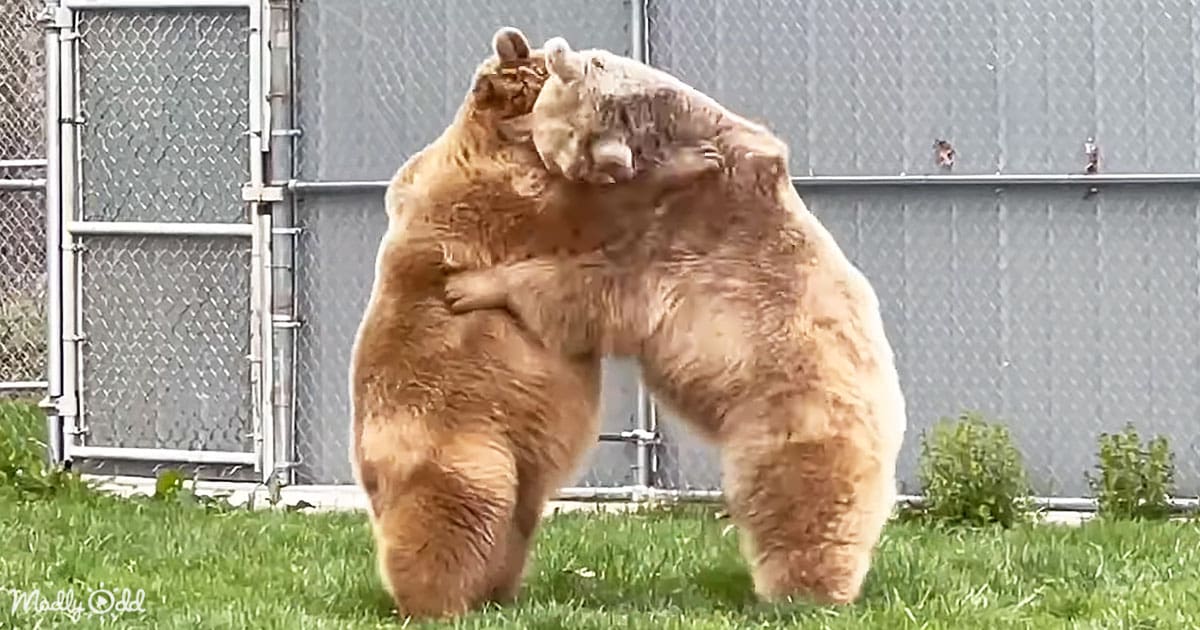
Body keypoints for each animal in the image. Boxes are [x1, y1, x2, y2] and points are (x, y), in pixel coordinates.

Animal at [348, 27, 612, 620]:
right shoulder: (503, 204)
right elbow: (566, 216)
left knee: (516, 528)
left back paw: (502, 594)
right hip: (467, 450)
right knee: (454, 523)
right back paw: (441, 603)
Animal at [443, 36, 909, 606]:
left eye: (562, 150)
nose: (552, 168)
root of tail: (891, 413)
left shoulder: (678, 241)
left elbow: (589, 289)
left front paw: (472, 285)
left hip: (793, 413)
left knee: (797, 500)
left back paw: (802, 589)